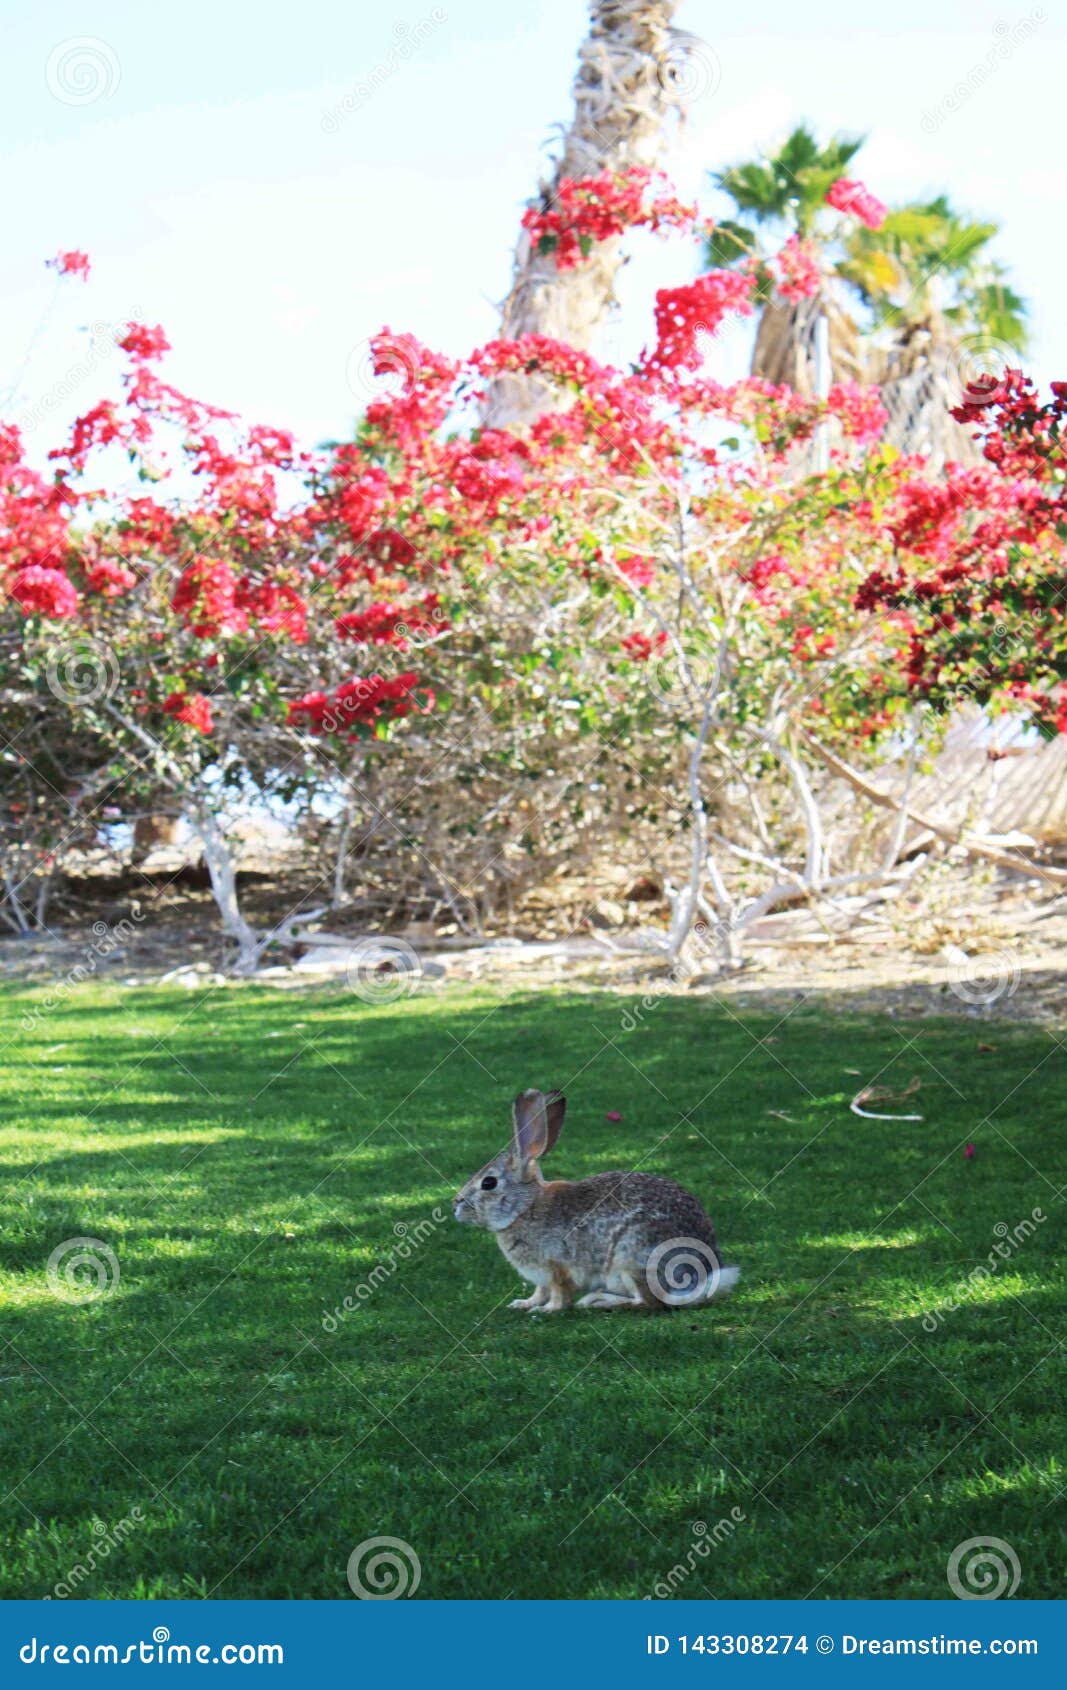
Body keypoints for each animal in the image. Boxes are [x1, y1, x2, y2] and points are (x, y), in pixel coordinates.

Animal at [452, 1088, 740, 1313]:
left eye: (488, 1183)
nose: (455, 1204)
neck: (525, 1208)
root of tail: (704, 1275)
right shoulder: (540, 1276)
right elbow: (539, 1291)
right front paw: (523, 1303)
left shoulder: (557, 1267)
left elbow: (558, 1294)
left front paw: (548, 1309)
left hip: (633, 1258)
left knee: (648, 1302)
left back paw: (597, 1300)